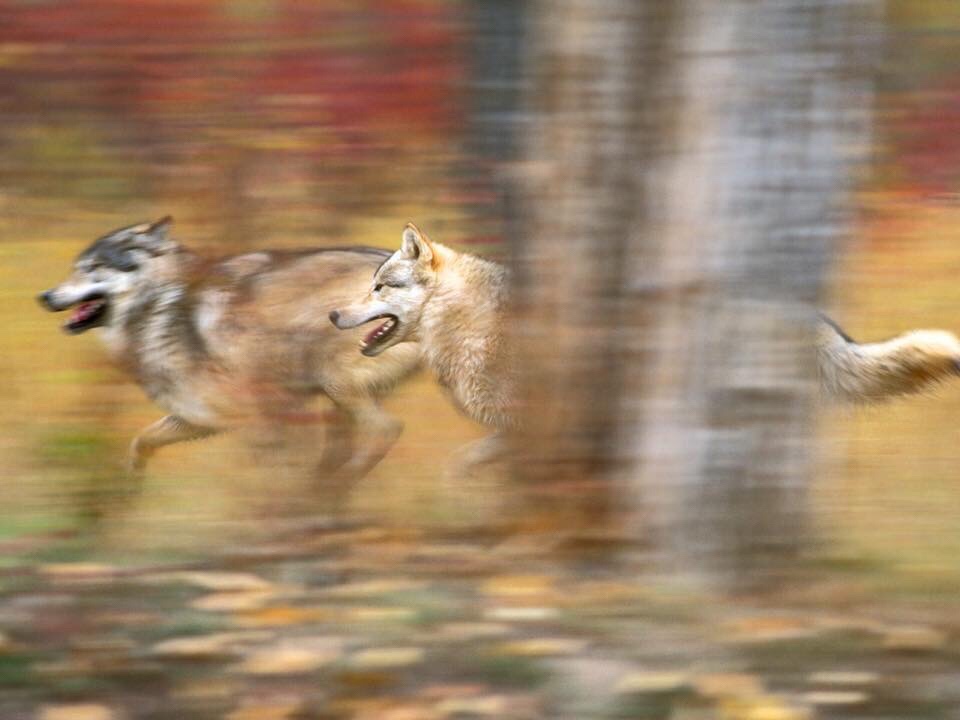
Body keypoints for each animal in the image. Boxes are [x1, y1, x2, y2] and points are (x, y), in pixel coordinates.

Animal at [38, 217, 420, 488]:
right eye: (77, 267)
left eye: (91, 269)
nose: (44, 296)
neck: (157, 306)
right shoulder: (199, 416)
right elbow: (141, 441)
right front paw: (131, 482)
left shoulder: (259, 416)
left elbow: (274, 473)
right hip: (334, 399)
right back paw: (329, 485)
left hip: (334, 383)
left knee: (387, 429)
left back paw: (336, 483)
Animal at [330, 223, 960, 472]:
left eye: (380, 287)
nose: (335, 313)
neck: (466, 316)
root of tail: (804, 310)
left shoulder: (525, 427)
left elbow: (466, 468)